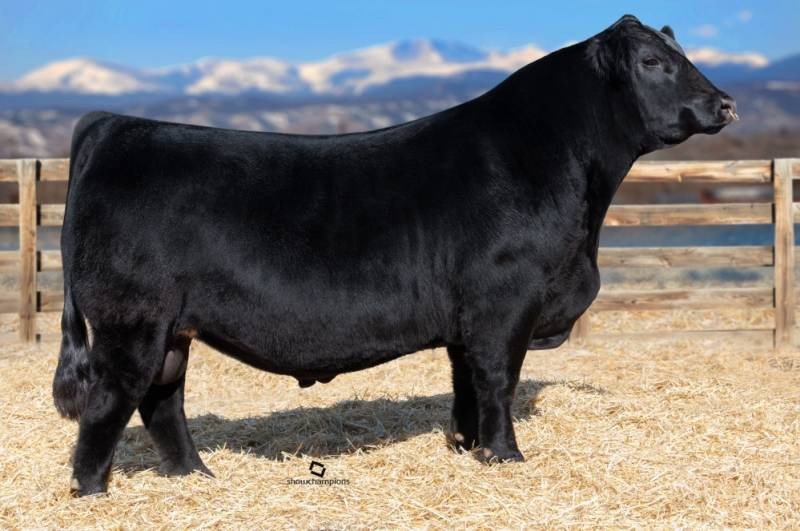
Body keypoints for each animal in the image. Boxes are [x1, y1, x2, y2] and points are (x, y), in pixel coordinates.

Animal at [53, 15, 737, 496]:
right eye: (652, 61)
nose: (725, 103)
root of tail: (114, 124)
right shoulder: (505, 305)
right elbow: (498, 381)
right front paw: (506, 456)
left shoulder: (468, 321)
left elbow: (466, 385)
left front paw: (466, 448)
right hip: (131, 322)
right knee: (111, 400)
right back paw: (92, 491)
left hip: (171, 327)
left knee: (161, 398)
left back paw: (194, 475)